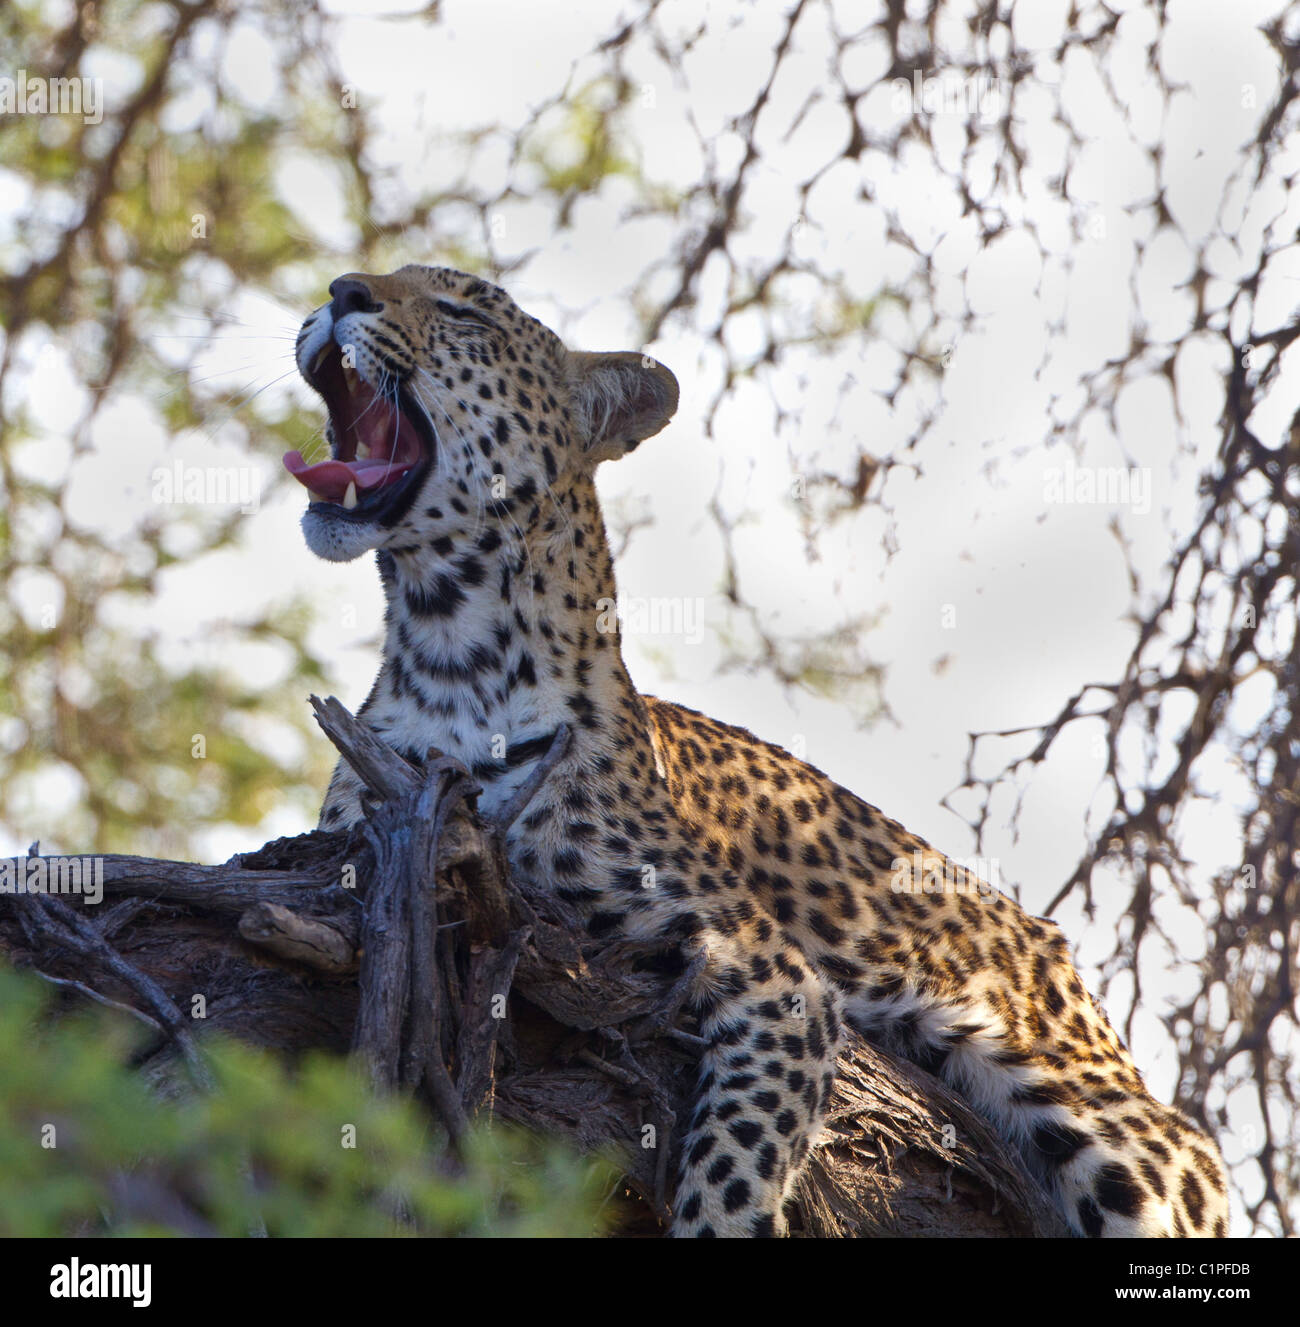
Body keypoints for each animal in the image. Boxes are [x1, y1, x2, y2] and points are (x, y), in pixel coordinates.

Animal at [285, 263, 1229, 1238]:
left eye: (461, 312)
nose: (343, 287)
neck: (446, 651)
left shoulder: (776, 975)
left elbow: (735, 1168)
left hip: (1136, 1153)